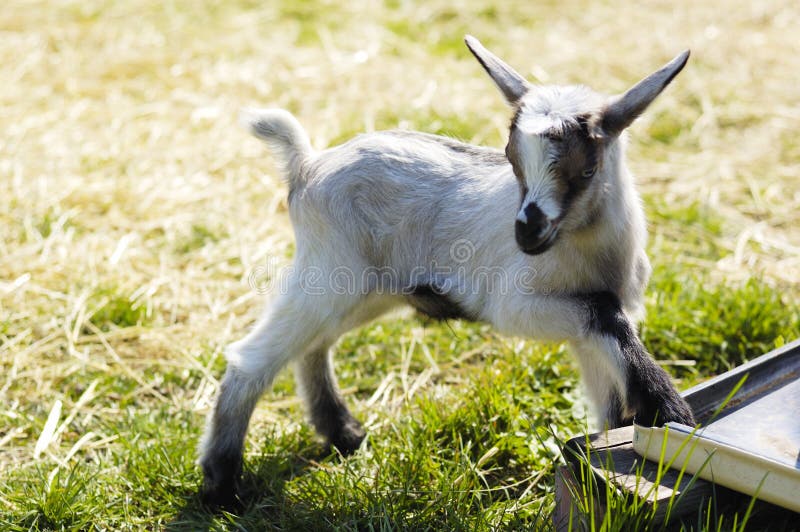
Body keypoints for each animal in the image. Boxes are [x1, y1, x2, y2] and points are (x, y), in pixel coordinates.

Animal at [199, 36, 696, 507]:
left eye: (588, 169)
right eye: (512, 160)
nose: (526, 233)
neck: (589, 250)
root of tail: (306, 166)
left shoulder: (584, 332)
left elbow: (609, 397)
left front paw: (625, 433)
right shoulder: (520, 306)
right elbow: (603, 311)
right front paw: (668, 408)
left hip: (365, 289)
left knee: (313, 345)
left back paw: (341, 432)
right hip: (329, 271)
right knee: (251, 358)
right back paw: (222, 486)